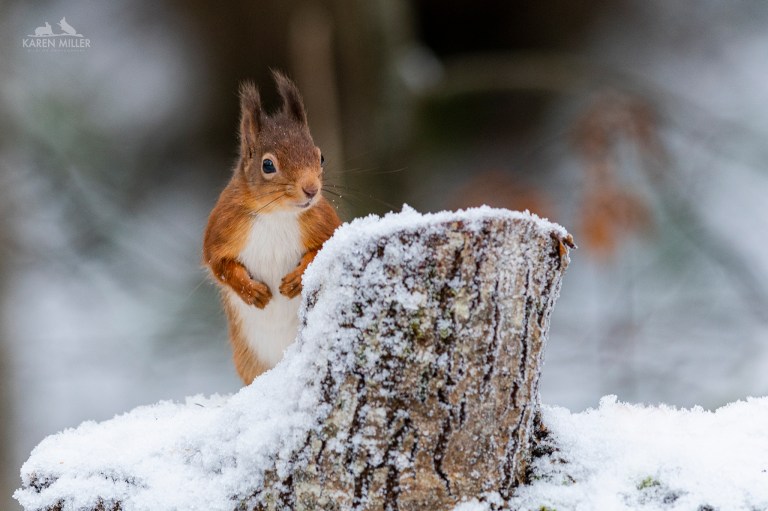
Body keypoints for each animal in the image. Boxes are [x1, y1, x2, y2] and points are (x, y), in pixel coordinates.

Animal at [203, 71, 341, 385]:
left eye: (321, 157)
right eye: (268, 165)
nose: (311, 190)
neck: (276, 214)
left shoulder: (324, 223)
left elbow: (322, 250)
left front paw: (296, 280)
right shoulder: (222, 227)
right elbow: (217, 264)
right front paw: (251, 291)